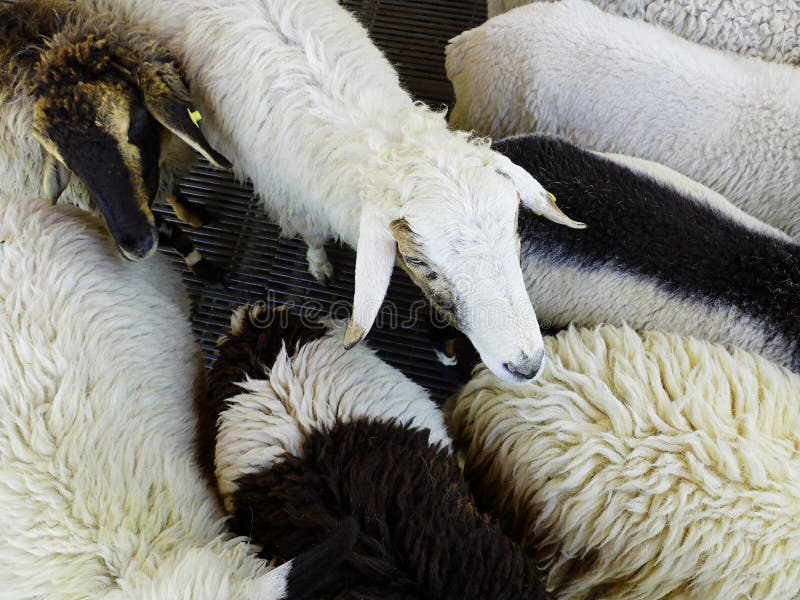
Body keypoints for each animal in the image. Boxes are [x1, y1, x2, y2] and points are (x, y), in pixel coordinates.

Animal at [0, 0, 230, 283]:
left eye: (136, 122)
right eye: (67, 162)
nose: (137, 246)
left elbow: (174, 191)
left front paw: (193, 214)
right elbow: (173, 233)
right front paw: (205, 268)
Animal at [79, 0, 585, 384]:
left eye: (516, 233)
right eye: (422, 264)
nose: (527, 365)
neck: (378, 136)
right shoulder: (295, 201)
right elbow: (312, 237)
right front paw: (319, 265)